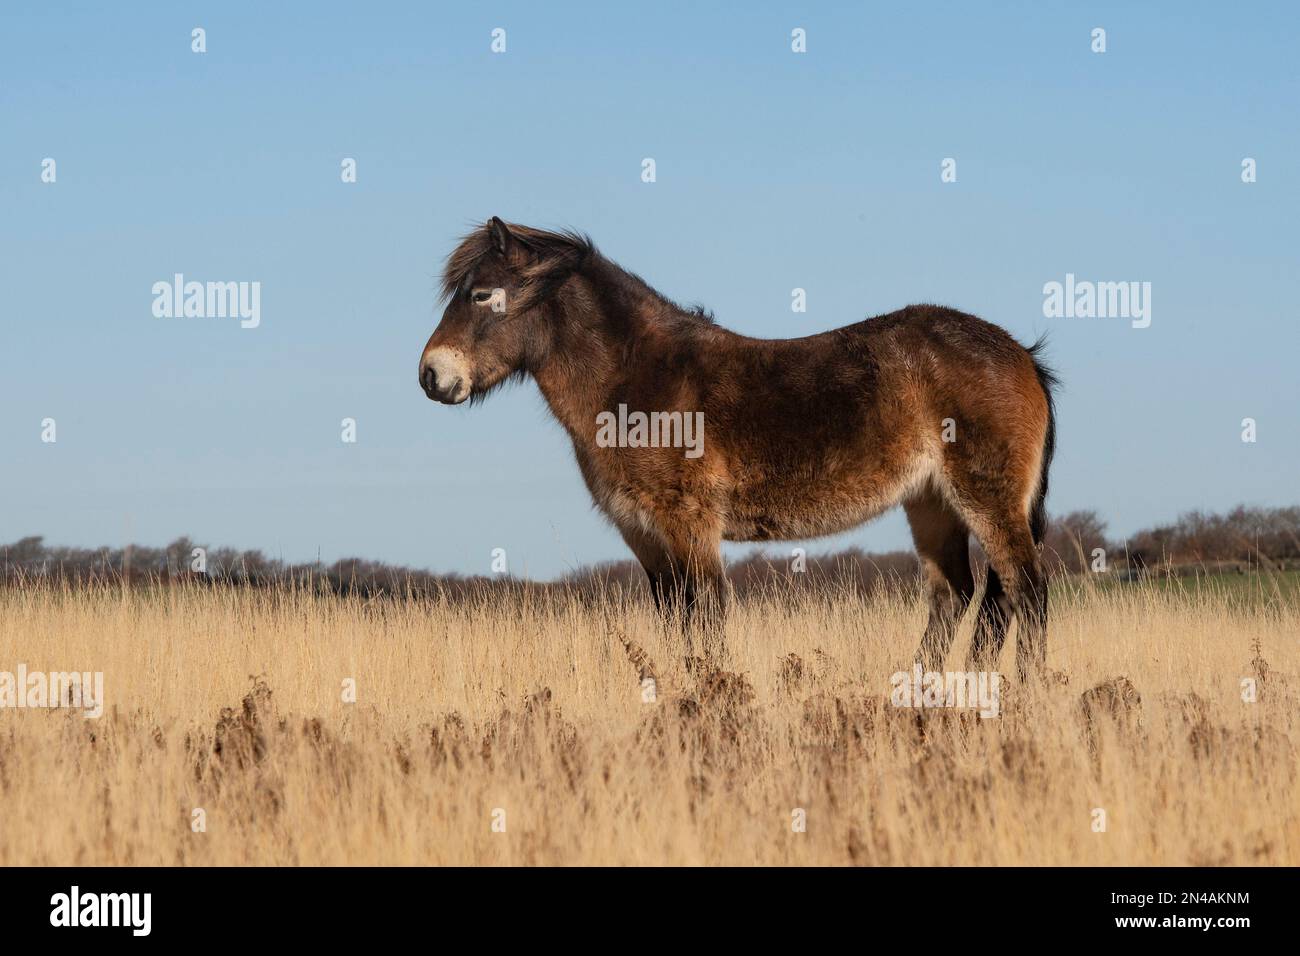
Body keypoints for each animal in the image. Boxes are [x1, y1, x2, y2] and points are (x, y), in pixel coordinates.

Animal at [419, 218, 1058, 677]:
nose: (431, 375)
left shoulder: (690, 525)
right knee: (958, 597)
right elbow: (677, 623)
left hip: (988, 502)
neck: (638, 378)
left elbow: (707, 618)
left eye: (481, 295)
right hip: (931, 503)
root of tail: (1022, 355)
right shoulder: (645, 536)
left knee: (1026, 593)